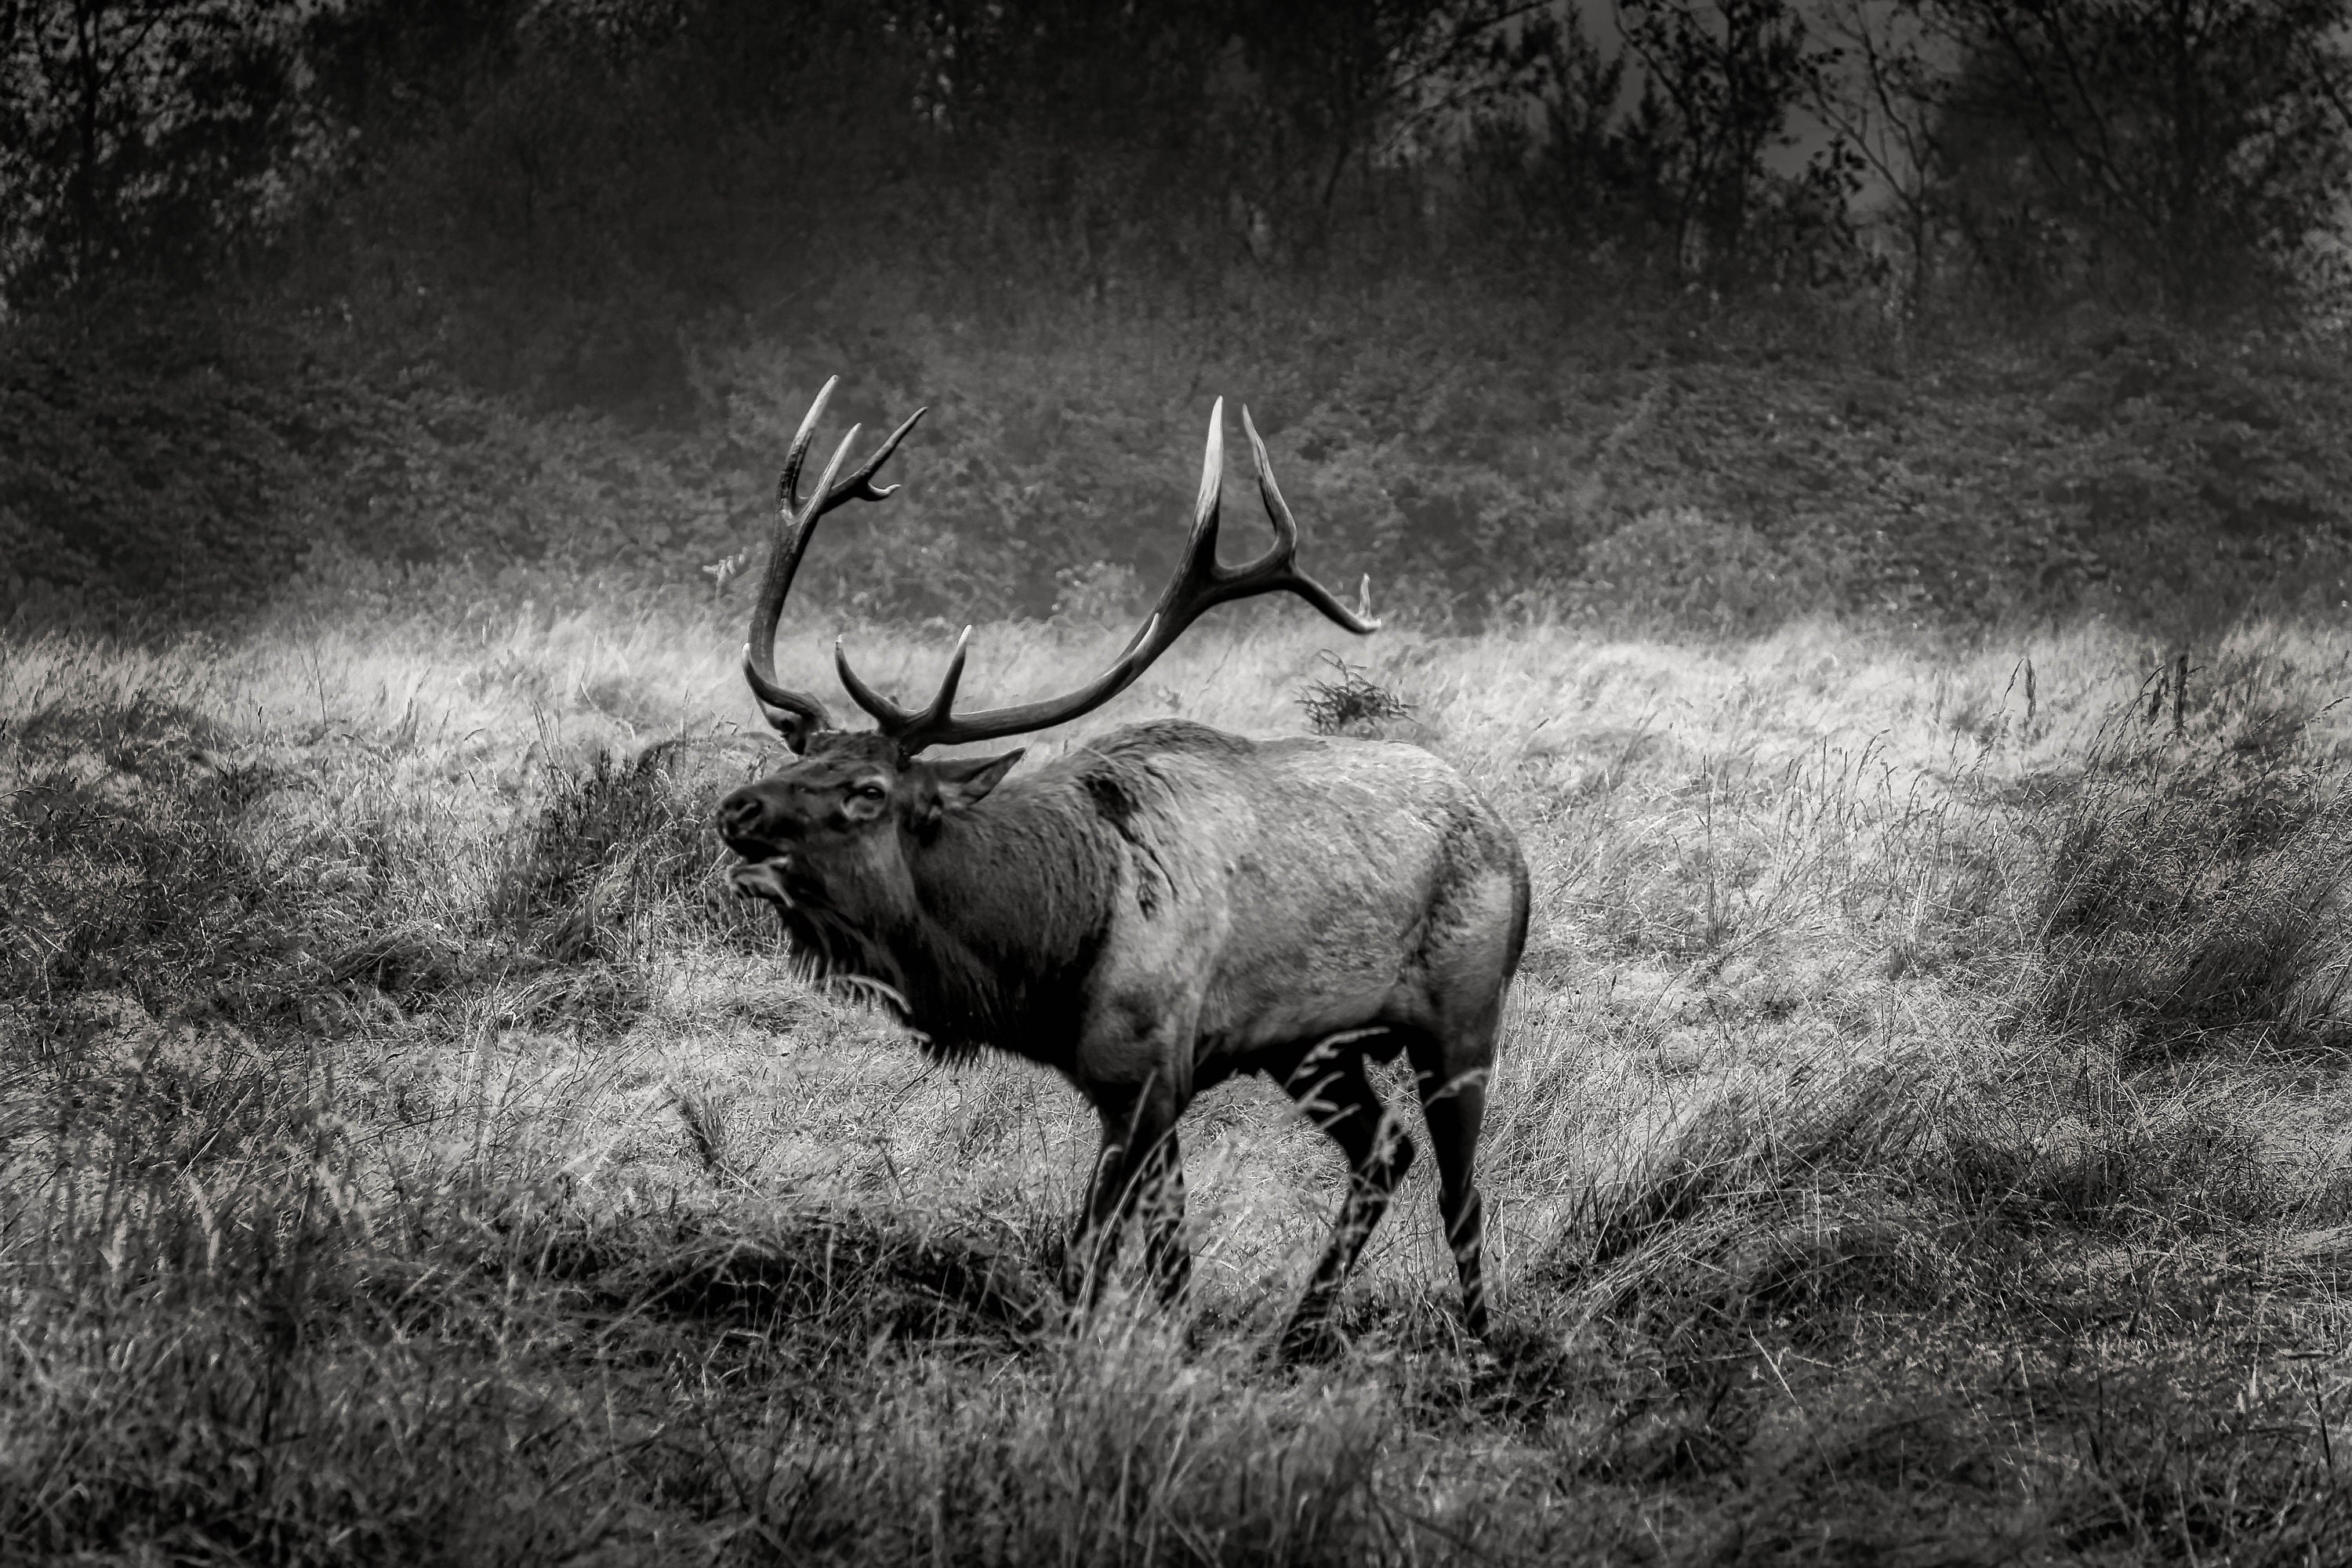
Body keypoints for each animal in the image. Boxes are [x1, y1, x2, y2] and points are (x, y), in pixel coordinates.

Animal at [715, 378, 1529, 1354]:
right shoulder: (1144, 1081)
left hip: (1463, 1014)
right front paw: (1178, 1344)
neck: (1046, 951)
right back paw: (1296, 1331)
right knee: (1385, 1149)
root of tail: (1510, 839)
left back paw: (1483, 1343)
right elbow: (1161, 1256)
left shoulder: (1143, 1074)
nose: (738, 809)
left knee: (1461, 1191)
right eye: (797, 755)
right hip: (1309, 1048)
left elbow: (1091, 1252)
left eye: (868, 790)